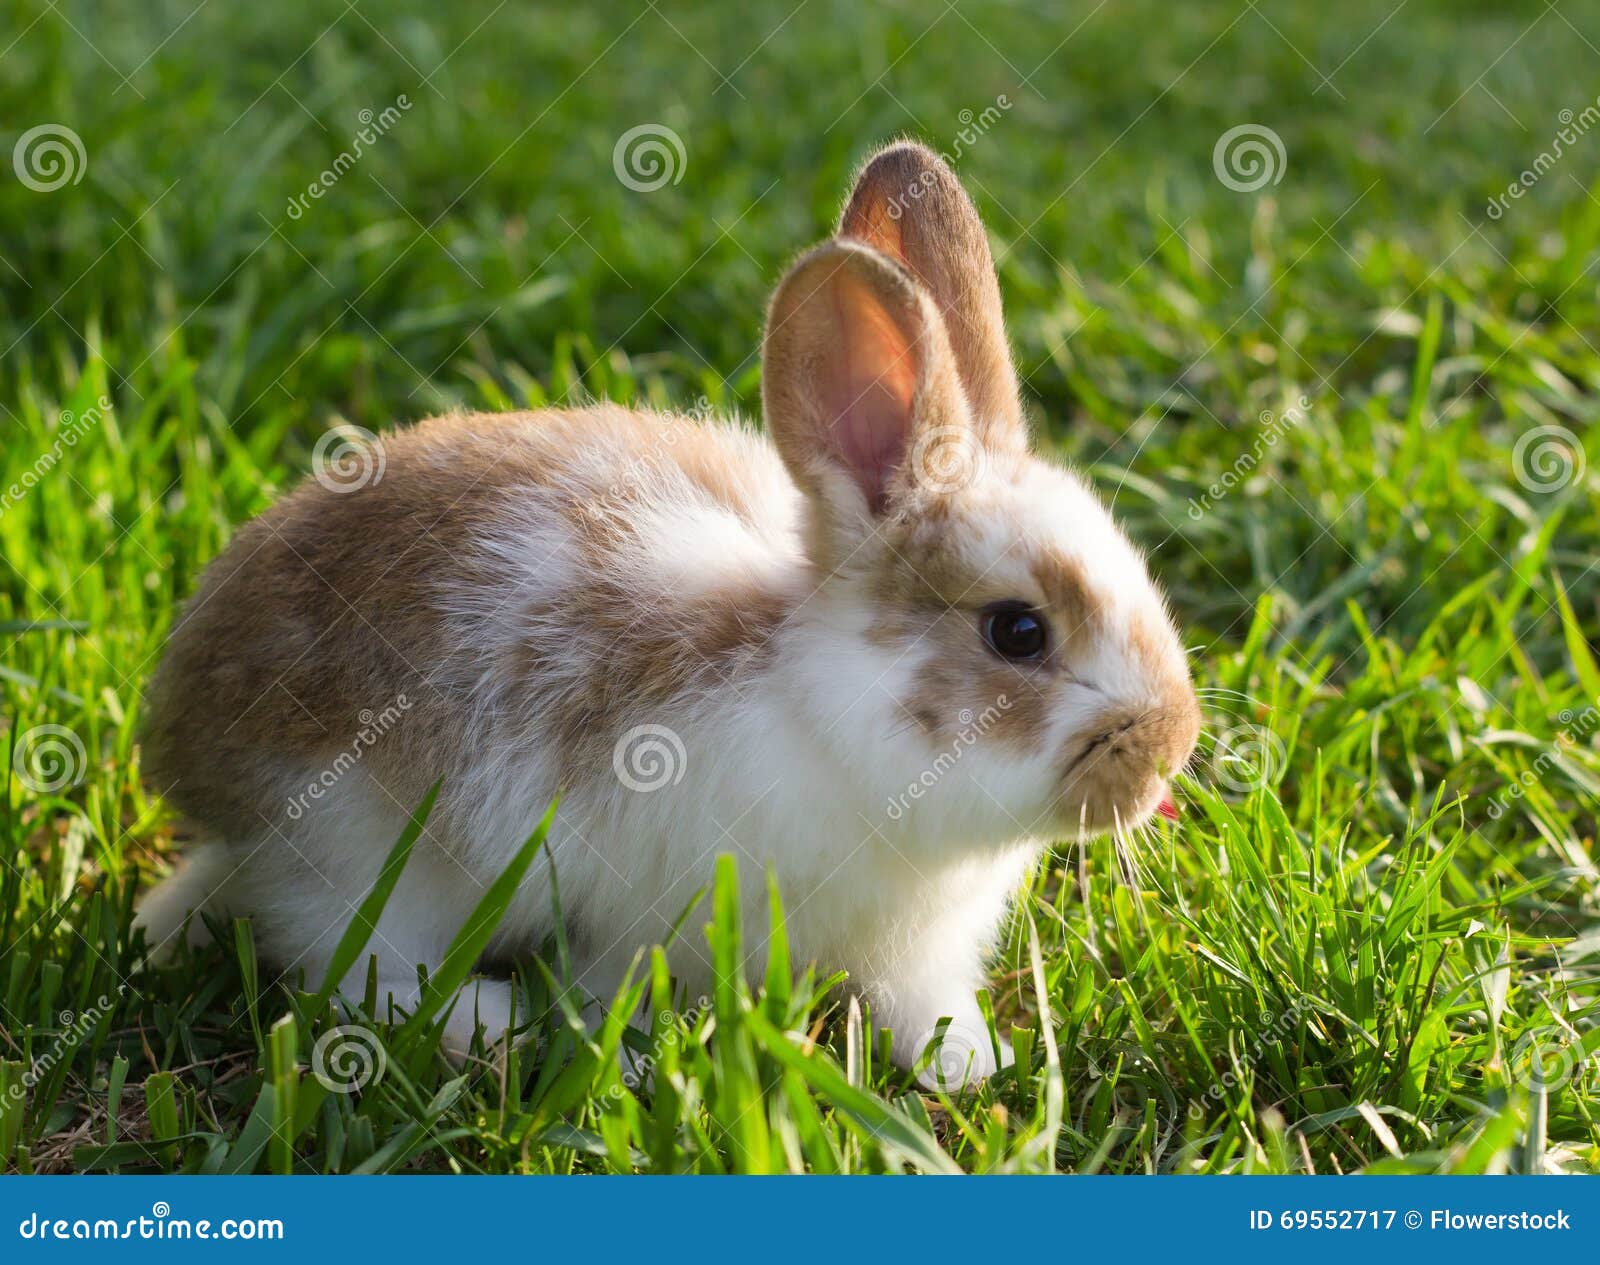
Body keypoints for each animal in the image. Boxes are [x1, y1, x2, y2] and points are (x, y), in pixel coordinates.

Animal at [136, 140, 1200, 1088]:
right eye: (1018, 632)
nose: (1171, 748)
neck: (829, 709)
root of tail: (188, 754)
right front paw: (632, 1058)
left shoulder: (916, 954)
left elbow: (922, 1007)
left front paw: (972, 1067)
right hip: (367, 854)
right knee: (350, 971)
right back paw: (495, 1021)